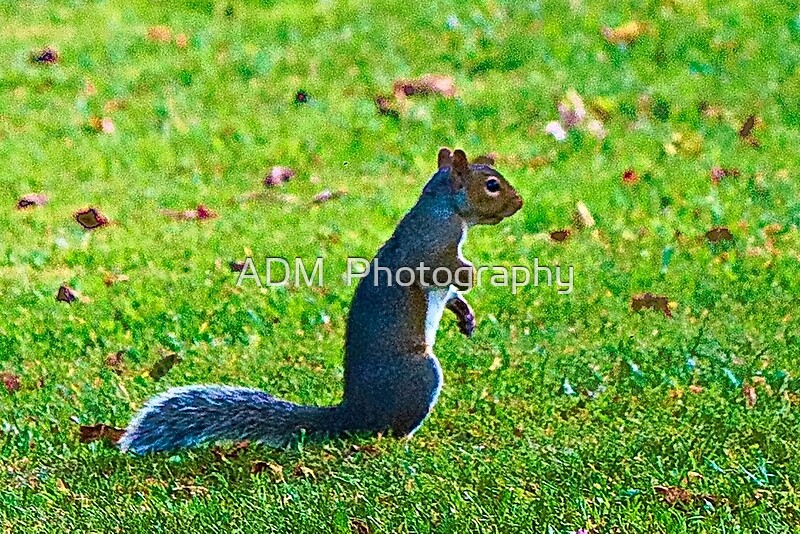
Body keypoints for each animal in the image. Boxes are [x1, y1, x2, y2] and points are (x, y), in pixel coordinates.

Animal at [119, 148, 523, 454]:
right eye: (491, 185)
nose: (519, 203)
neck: (446, 208)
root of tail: (352, 414)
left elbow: (451, 294)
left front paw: (465, 313)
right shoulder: (431, 246)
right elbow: (440, 271)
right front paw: (470, 276)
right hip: (419, 374)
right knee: (386, 429)